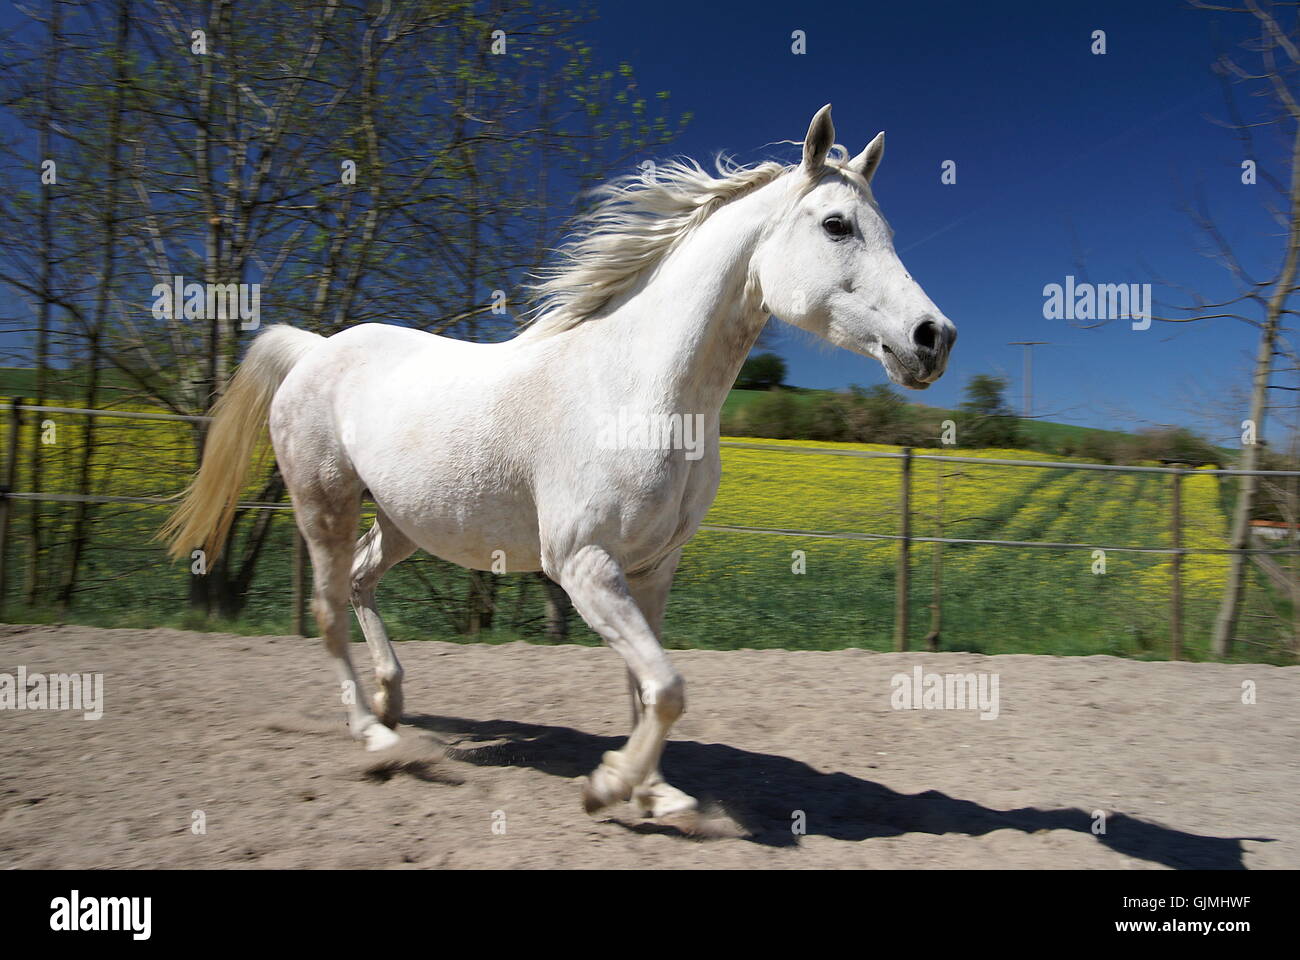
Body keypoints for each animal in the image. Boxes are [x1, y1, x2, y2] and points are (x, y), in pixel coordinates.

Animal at [162, 104, 956, 819]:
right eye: (836, 225)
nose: (934, 337)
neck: (639, 389)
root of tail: (312, 350)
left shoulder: (652, 569)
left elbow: (646, 687)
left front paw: (656, 793)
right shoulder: (583, 565)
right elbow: (669, 688)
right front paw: (609, 787)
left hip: (407, 522)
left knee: (359, 584)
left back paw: (393, 702)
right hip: (322, 504)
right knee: (328, 608)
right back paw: (375, 736)